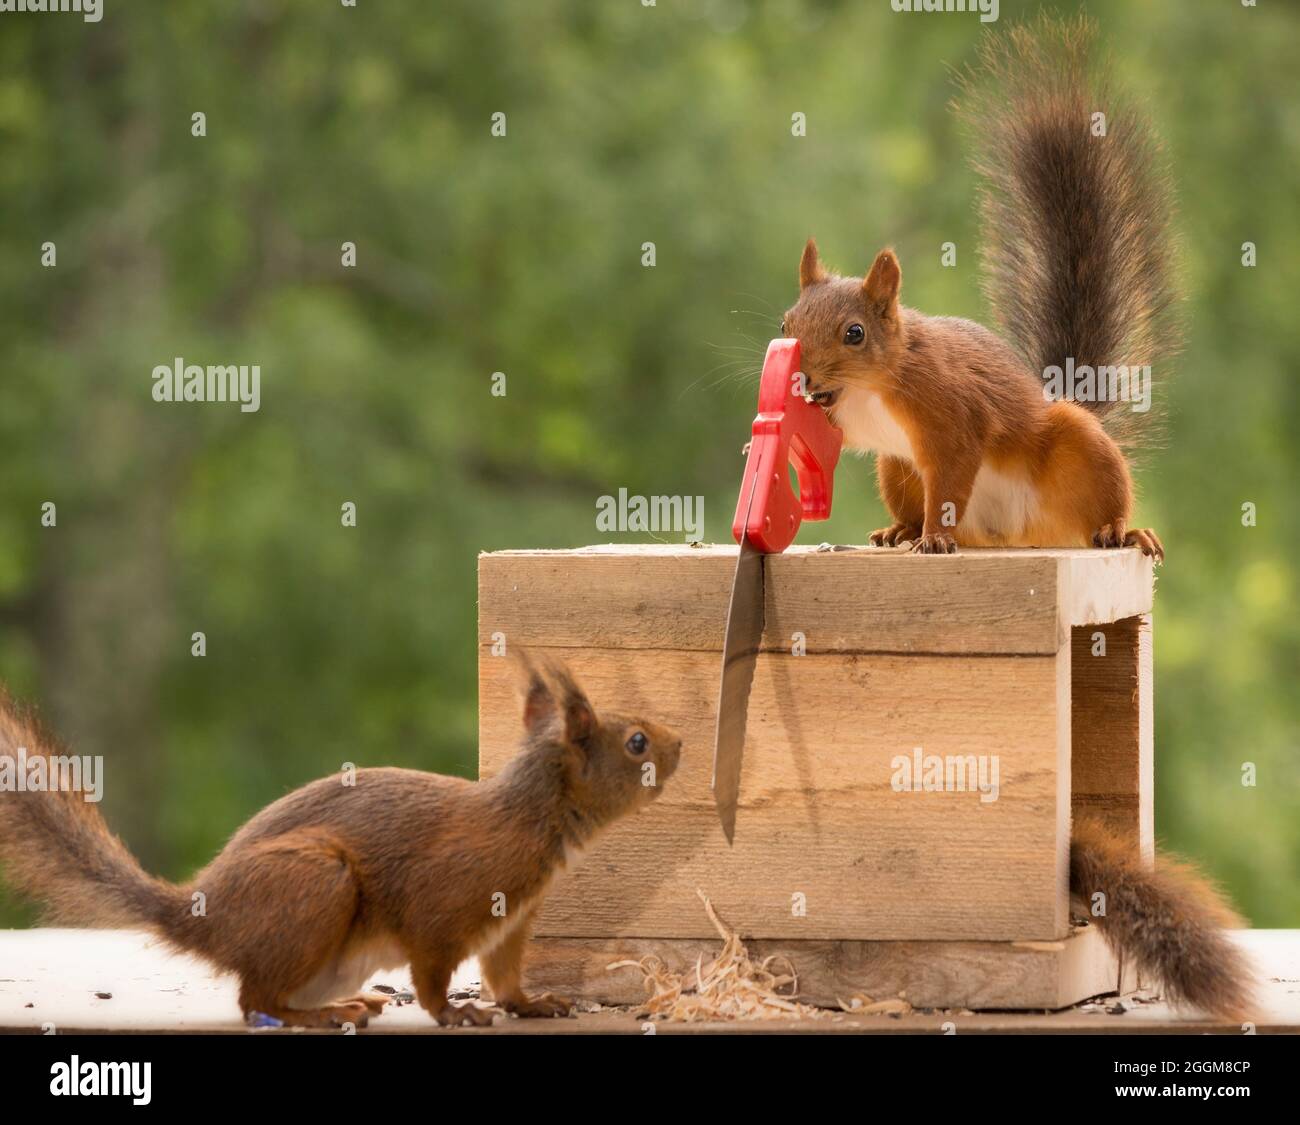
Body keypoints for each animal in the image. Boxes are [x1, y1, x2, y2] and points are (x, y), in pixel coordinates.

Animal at [0, 657, 682, 1029]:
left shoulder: (509, 922)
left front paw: (533, 1002)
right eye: (636, 742)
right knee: (253, 999)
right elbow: (432, 971)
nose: (681, 744)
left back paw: (351, 1001)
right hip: (316, 883)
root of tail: (202, 916)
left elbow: (504, 975)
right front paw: (454, 1013)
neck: (532, 818)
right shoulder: (444, 902)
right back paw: (322, 1016)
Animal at [784, 16, 1173, 560]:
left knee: (1101, 498)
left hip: (1081, 449)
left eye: (854, 333)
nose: (802, 378)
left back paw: (1123, 531)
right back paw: (900, 530)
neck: (867, 388)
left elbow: (950, 475)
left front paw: (935, 540)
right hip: (895, 469)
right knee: (911, 502)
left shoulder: (951, 415)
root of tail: (1012, 533)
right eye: (786, 324)